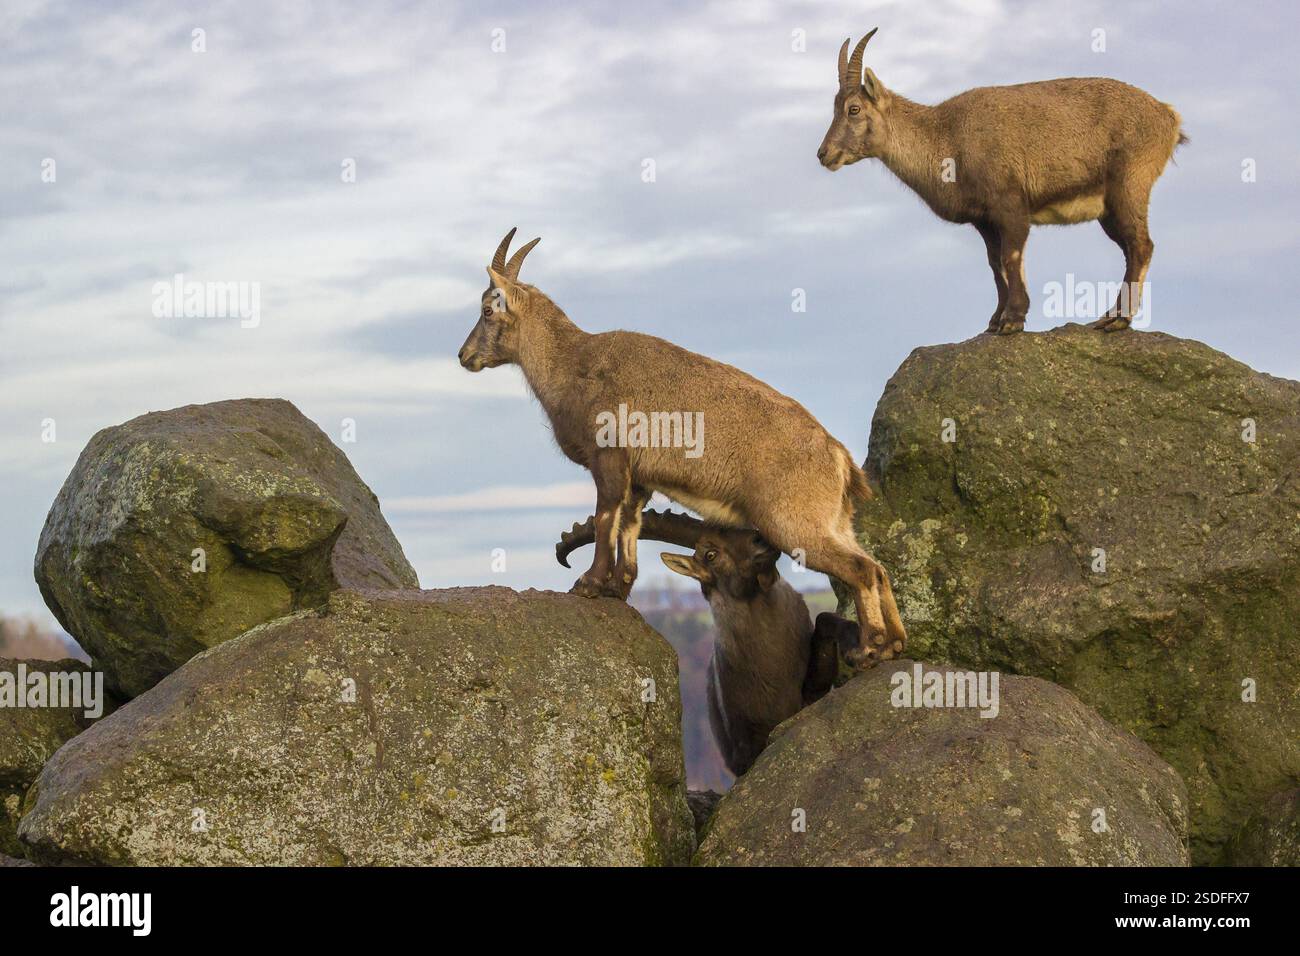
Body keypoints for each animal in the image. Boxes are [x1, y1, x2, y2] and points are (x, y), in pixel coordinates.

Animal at [458, 229, 906, 666]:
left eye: (487, 310)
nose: (464, 356)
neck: (571, 364)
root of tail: (840, 459)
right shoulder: (639, 478)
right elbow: (629, 526)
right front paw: (618, 588)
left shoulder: (609, 455)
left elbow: (605, 518)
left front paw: (588, 583)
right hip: (834, 522)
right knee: (879, 568)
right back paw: (894, 644)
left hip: (793, 522)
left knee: (861, 570)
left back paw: (869, 648)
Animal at [818, 28, 1186, 334]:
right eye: (835, 107)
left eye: (853, 109)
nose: (824, 153)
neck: (945, 137)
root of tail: (1168, 116)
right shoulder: (984, 220)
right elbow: (996, 265)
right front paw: (995, 320)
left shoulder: (1010, 205)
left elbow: (1012, 256)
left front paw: (1013, 320)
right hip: (1108, 208)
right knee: (1130, 247)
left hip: (1130, 185)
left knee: (1141, 245)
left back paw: (1119, 319)